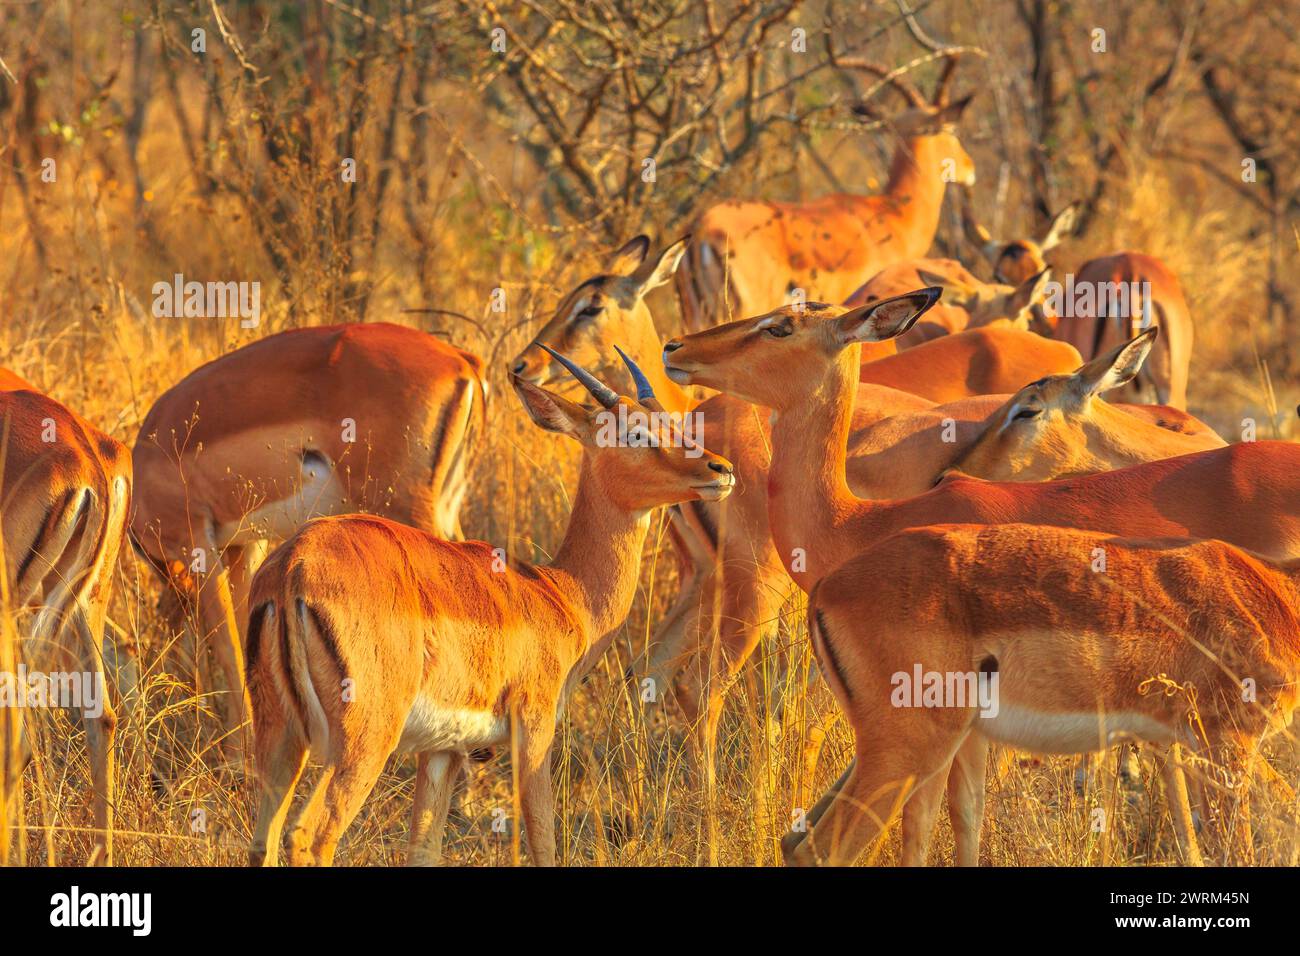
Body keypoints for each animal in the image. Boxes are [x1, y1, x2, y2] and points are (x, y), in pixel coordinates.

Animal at [131, 323, 486, 747]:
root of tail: (461, 360)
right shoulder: (243, 545)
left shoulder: (197, 543)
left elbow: (227, 644)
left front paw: (238, 752)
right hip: (445, 509)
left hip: (410, 510)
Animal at [245, 349, 734, 866]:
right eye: (635, 432)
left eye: (671, 422)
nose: (720, 468)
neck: (561, 593)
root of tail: (293, 566)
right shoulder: (533, 729)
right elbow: (544, 842)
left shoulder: (443, 751)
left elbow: (424, 849)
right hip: (364, 740)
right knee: (309, 834)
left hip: (281, 739)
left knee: (264, 839)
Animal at [793, 522, 1300, 866]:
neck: (1274, 594)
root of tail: (826, 586)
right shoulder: (1226, 747)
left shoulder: (1176, 747)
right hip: (909, 753)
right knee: (815, 850)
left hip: (940, 754)